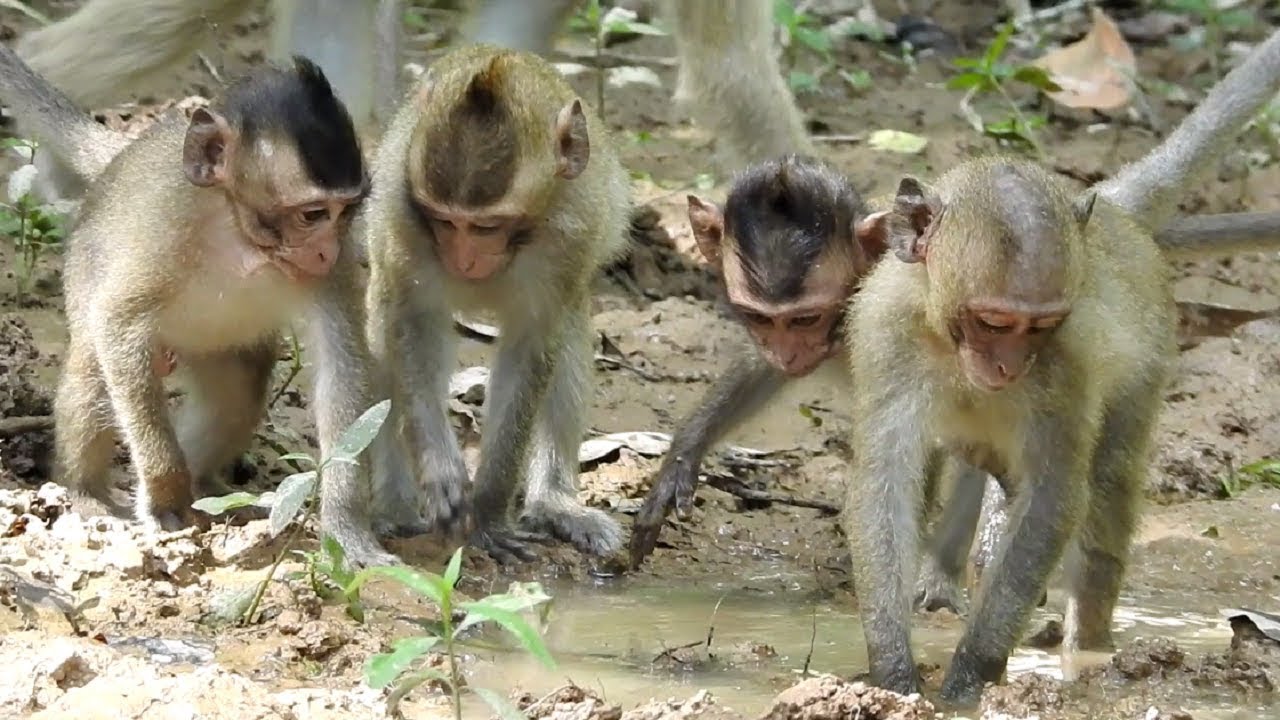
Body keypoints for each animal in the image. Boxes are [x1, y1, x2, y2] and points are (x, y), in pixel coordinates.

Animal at [0, 45, 403, 567]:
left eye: (346, 213)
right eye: (312, 215)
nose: (326, 252)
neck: (241, 233)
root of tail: (123, 152)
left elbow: (343, 366)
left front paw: (346, 525)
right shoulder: (164, 230)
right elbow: (117, 324)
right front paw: (164, 493)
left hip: (217, 346)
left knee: (237, 391)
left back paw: (210, 487)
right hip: (86, 261)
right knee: (92, 374)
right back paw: (88, 491)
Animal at [361, 44, 631, 563]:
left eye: (487, 227)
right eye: (444, 220)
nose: (464, 260)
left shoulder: (573, 234)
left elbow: (533, 347)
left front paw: (488, 513)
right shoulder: (402, 214)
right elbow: (410, 323)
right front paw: (440, 468)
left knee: (570, 336)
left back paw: (554, 503)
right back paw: (395, 508)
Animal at [841, 29, 1280, 705]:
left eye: (1040, 326)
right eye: (993, 322)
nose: (1007, 368)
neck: (947, 338)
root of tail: (1113, 221)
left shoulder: (1068, 357)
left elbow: (1053, 497)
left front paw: (970, 679)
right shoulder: (884, 332)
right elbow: (883, 482)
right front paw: (893, 672)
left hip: (1149, 355)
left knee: (1105, 483)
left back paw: (1089, 654)